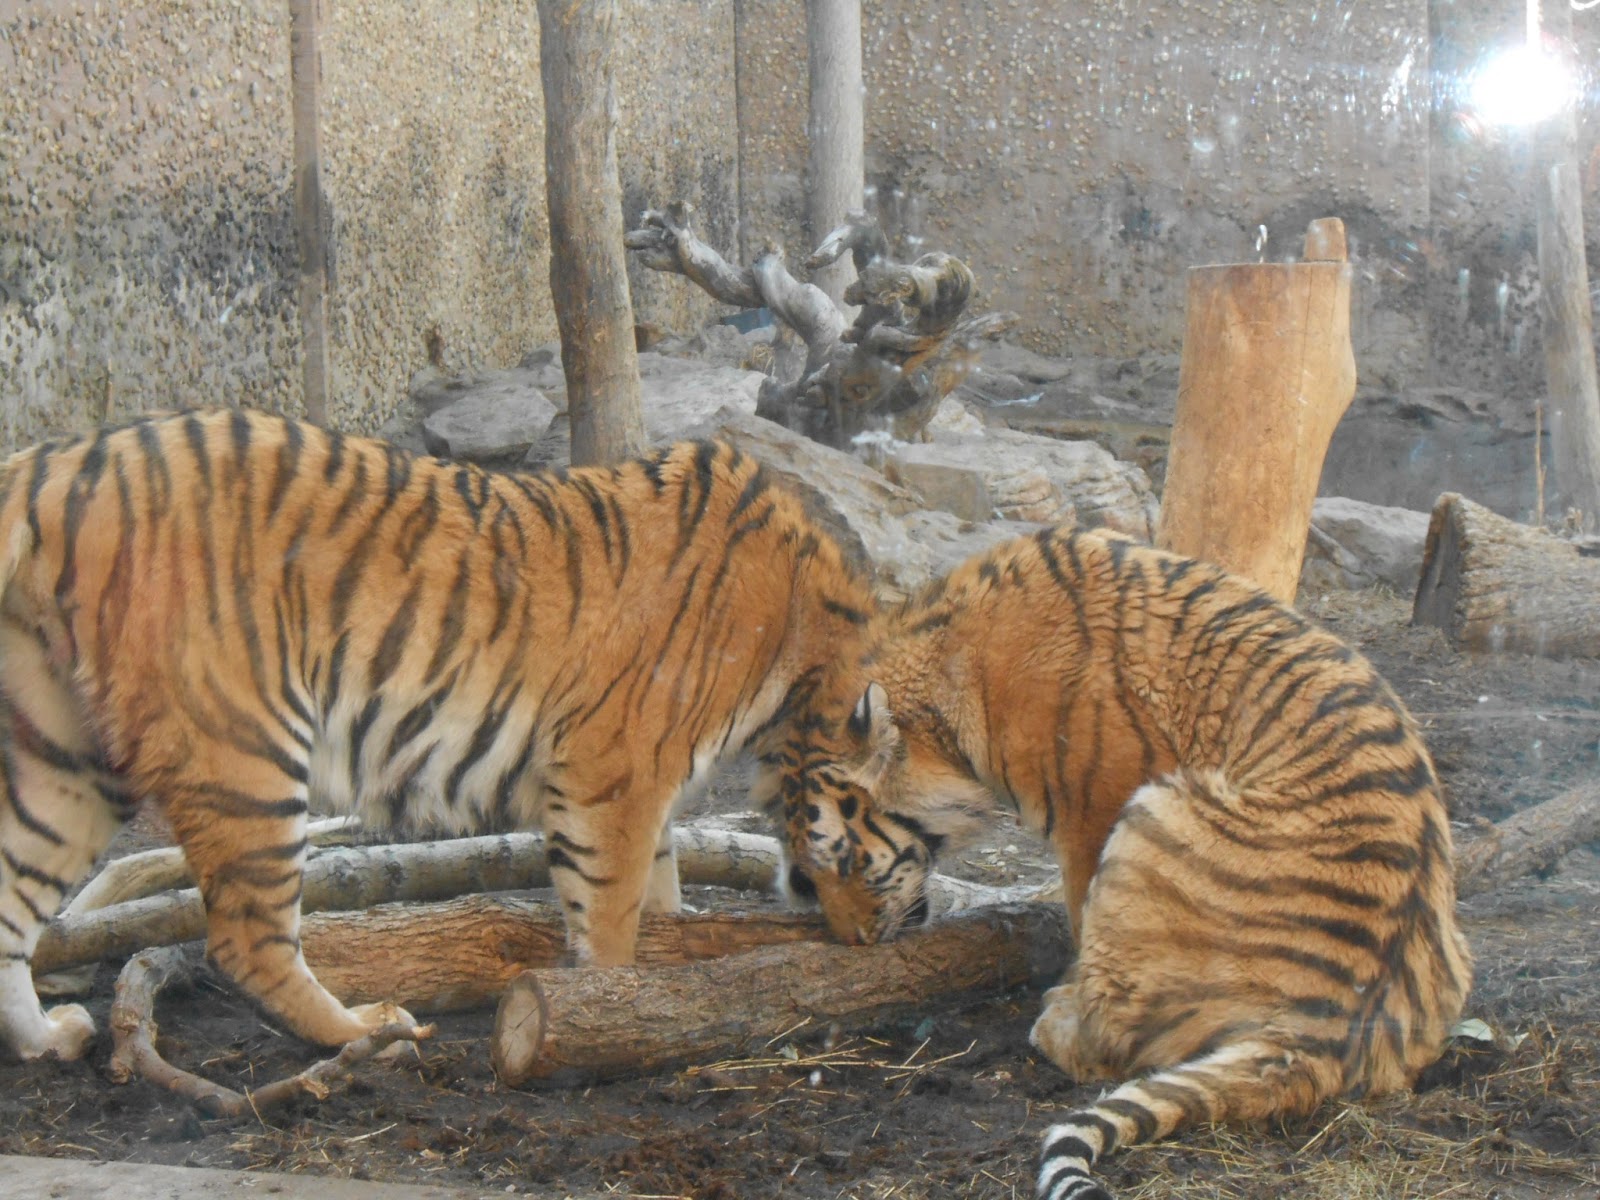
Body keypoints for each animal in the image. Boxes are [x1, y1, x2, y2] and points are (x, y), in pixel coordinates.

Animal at [0, 409, 878, 1062]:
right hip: (245, 748)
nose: (873, 938)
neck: (810, 638)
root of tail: (47, 466)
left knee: (12, 903)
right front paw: (611, 1007)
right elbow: (612, 911)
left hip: (63, 759)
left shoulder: (644, 786)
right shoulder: (613, 772)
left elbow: (656, 893)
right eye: (874, 856)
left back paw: (47, 1038)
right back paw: (365, 1031)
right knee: (247, 939)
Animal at [767, 526, 1473, 1200]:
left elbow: (1084, 920)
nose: (853, 942)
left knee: (1115, 1038)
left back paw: (1055, 1016)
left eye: (846, 859)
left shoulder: (1095, 809)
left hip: (1156, 813)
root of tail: (1329, 1035)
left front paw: (1068, 981)